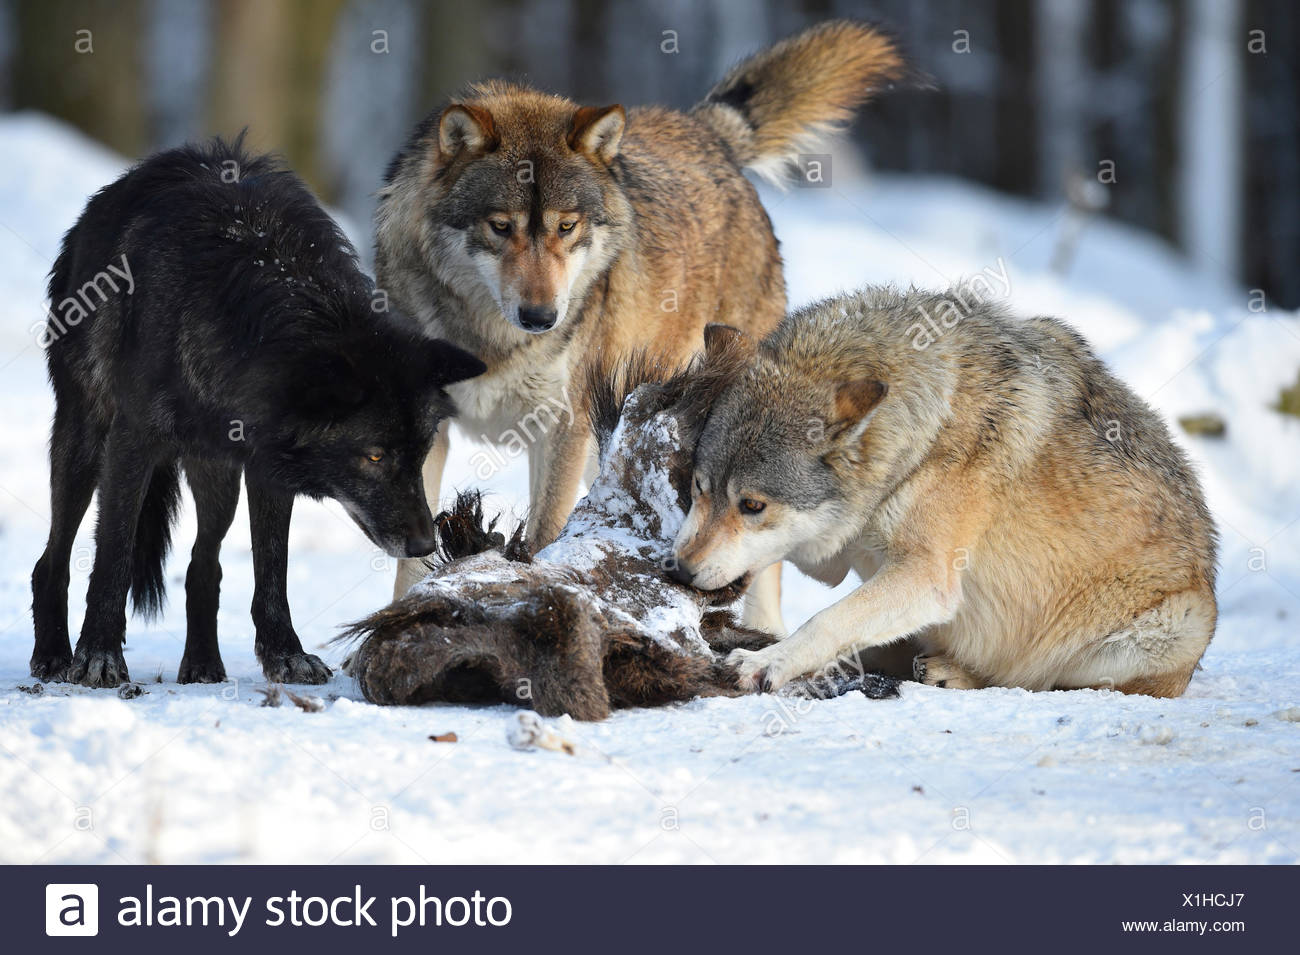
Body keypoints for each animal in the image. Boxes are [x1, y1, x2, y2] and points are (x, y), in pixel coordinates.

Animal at [30, 136, 484, 689]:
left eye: (420, 455)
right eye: (374, 457)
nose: (423, 545)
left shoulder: (267, 464)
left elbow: (272, 569)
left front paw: (286, 655)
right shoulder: (132, 444)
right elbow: (112, 554)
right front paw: (98, 656)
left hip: (217, 478)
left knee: (204, 565)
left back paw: (203, 665)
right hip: (84, 444)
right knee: (52, 559)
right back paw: (54, 655)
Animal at [374, 19, 908, 630]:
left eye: (566, 227)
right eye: (500, 226)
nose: (542, 317)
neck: (493, 339)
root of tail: (706, 131)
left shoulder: (562, 428)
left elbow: (544, 536)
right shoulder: (433, 428)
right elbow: (412, 558)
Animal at [671, 288, 1219, 698]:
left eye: (753, 506)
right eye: (699, 488)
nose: (679, 569)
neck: (924, 435)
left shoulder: (927, 574)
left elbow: (826, 620)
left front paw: (766, 662)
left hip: (1169, 627)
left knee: (1036, 681)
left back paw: (949, 672)